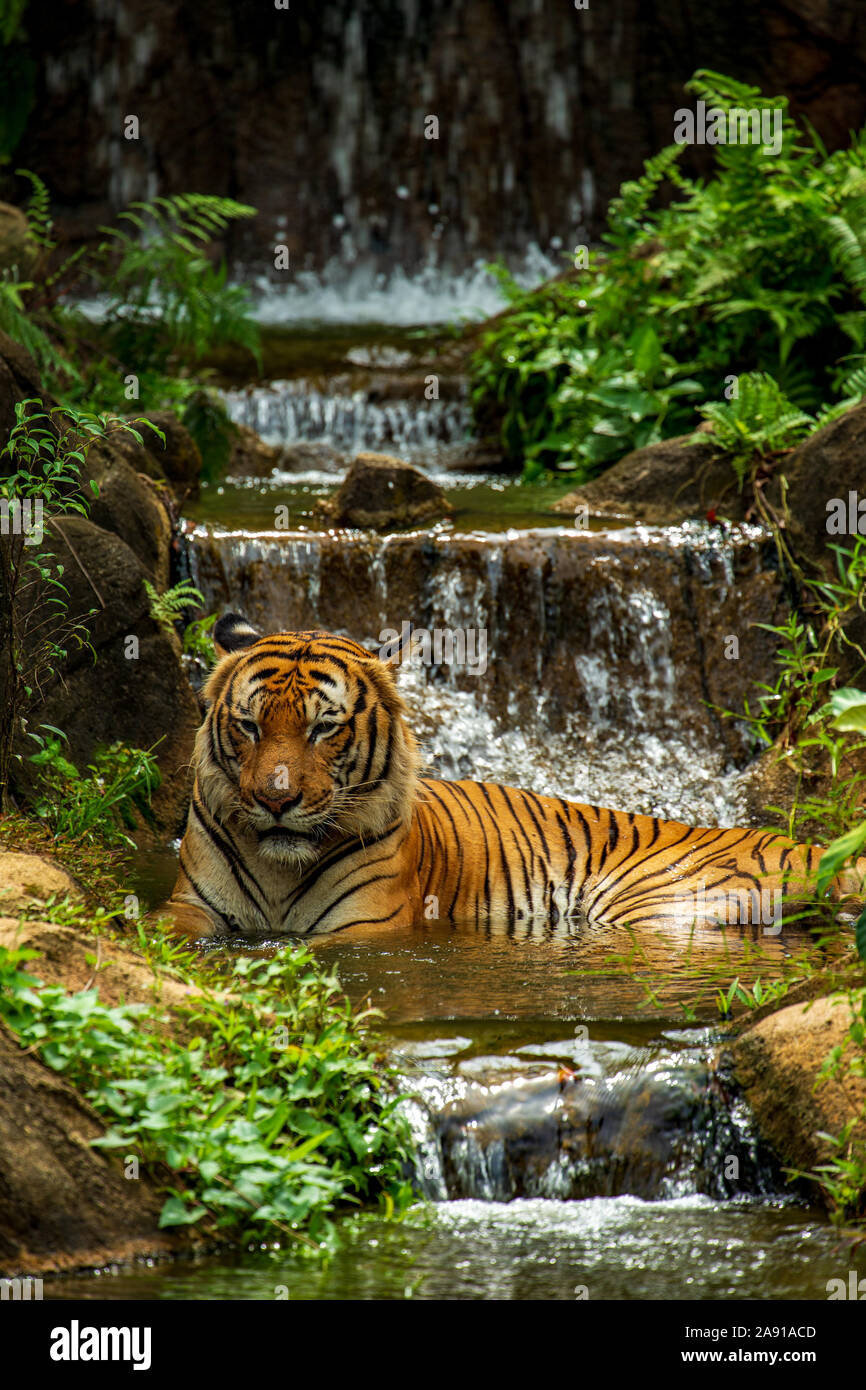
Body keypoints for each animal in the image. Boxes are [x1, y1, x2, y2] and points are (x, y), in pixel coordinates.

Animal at [165, 612, 864, 940]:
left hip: (657, 903)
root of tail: (811, 845)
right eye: (250, 726)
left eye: (323, 728)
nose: (275, 801)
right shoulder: (188, 911)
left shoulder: (365, 927)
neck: (279, 870)